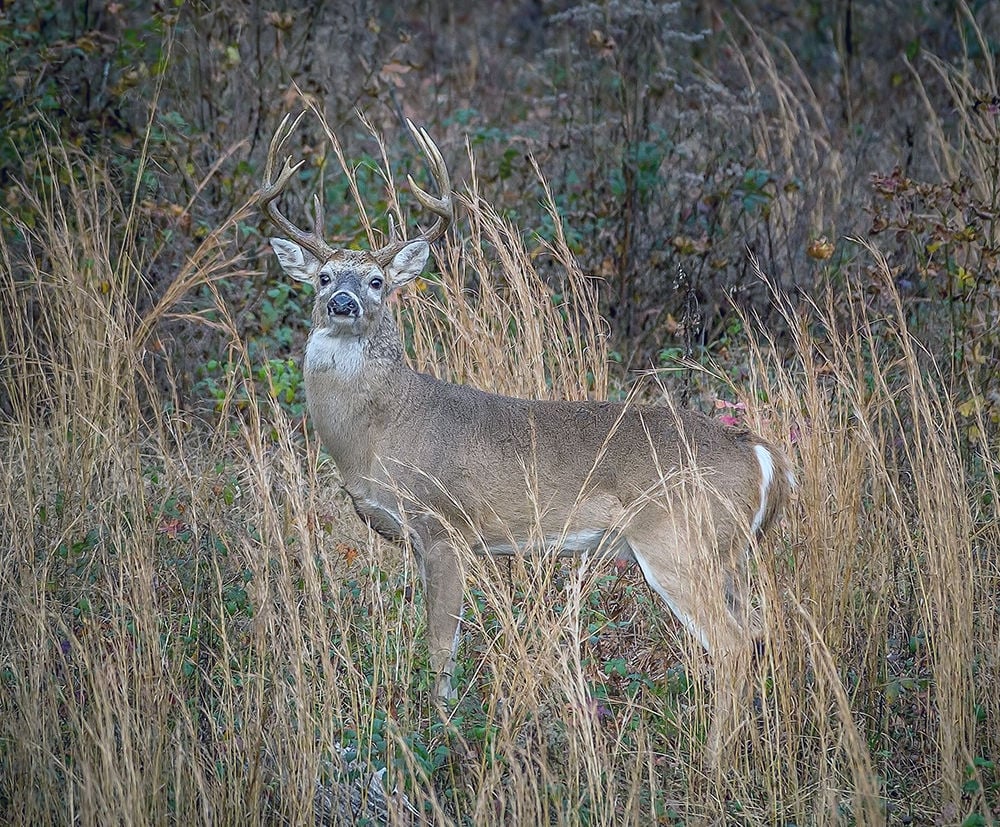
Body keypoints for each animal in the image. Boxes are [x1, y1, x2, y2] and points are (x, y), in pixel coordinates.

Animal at [256, 114, 794, 760]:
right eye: (324, 276)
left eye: (378, 281)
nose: (342, 302)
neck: (380, 432)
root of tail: (756, 453)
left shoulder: (445, 527)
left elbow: (441, 647)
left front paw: (441, 733)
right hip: (728, 553)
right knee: (761, 636)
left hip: (680, 540)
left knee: (734, 647)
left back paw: (711, 763)